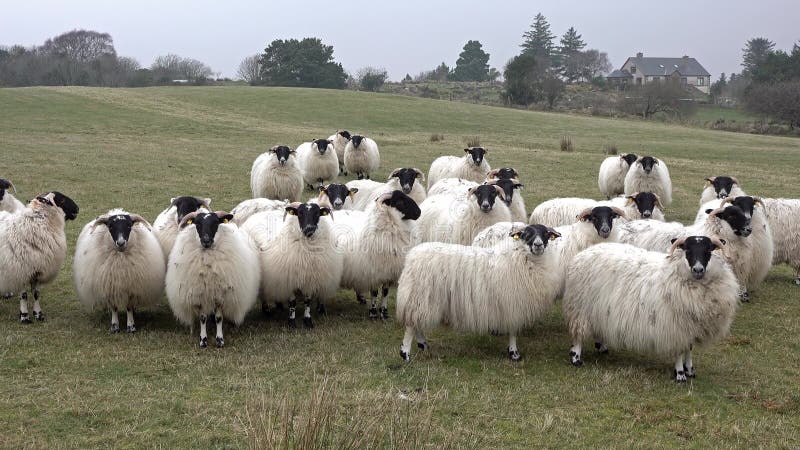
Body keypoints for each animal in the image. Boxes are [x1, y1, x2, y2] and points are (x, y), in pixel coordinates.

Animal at [0, 192, 79, 323]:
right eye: (62, 200)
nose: (77, 208)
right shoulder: (21, 271)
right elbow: (24, 295)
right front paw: (24, 316)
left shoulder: (38, 270)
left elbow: (36, 294)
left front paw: (38, 314)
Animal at [165, 210, 259, 348]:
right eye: (197, 224)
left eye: (216, 223)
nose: (206, 241)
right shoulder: (200, 295)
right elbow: (202, 318)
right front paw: (203, 340)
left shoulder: (220, 295)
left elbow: (219, 318)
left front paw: (220, 340)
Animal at [336, 190, 421, 319]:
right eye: (400, 202)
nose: (419, 212)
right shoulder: (374, 272)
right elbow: (375, 293)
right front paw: (373, 313)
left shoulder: (388, 272)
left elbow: (385, 292)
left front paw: (384, 312)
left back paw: (361, 298)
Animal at [396, 224, 563, 362]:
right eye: (526, 234)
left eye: (546, 233)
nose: (538, 245)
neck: (521, 257)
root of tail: (411, 257)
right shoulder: (513, 303)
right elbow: (513, 330)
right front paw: (514, 353)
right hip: (419, 296)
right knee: (411, 326)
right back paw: (405, 353)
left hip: (421, 300)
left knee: (416, 323)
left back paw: (423, 345)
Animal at [563, 236, 739, 382]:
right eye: (687, 250)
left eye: (708, 250)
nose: (698, 269)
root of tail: (583, 253)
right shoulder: (676, 326)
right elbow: (680, 351)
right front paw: (680, 374)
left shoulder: (691, 327)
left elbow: (689, 349)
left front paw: (690, 370)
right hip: (580, 307)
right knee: (578, 334)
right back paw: (576, 357)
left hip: (599, 307)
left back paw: (602, 347)